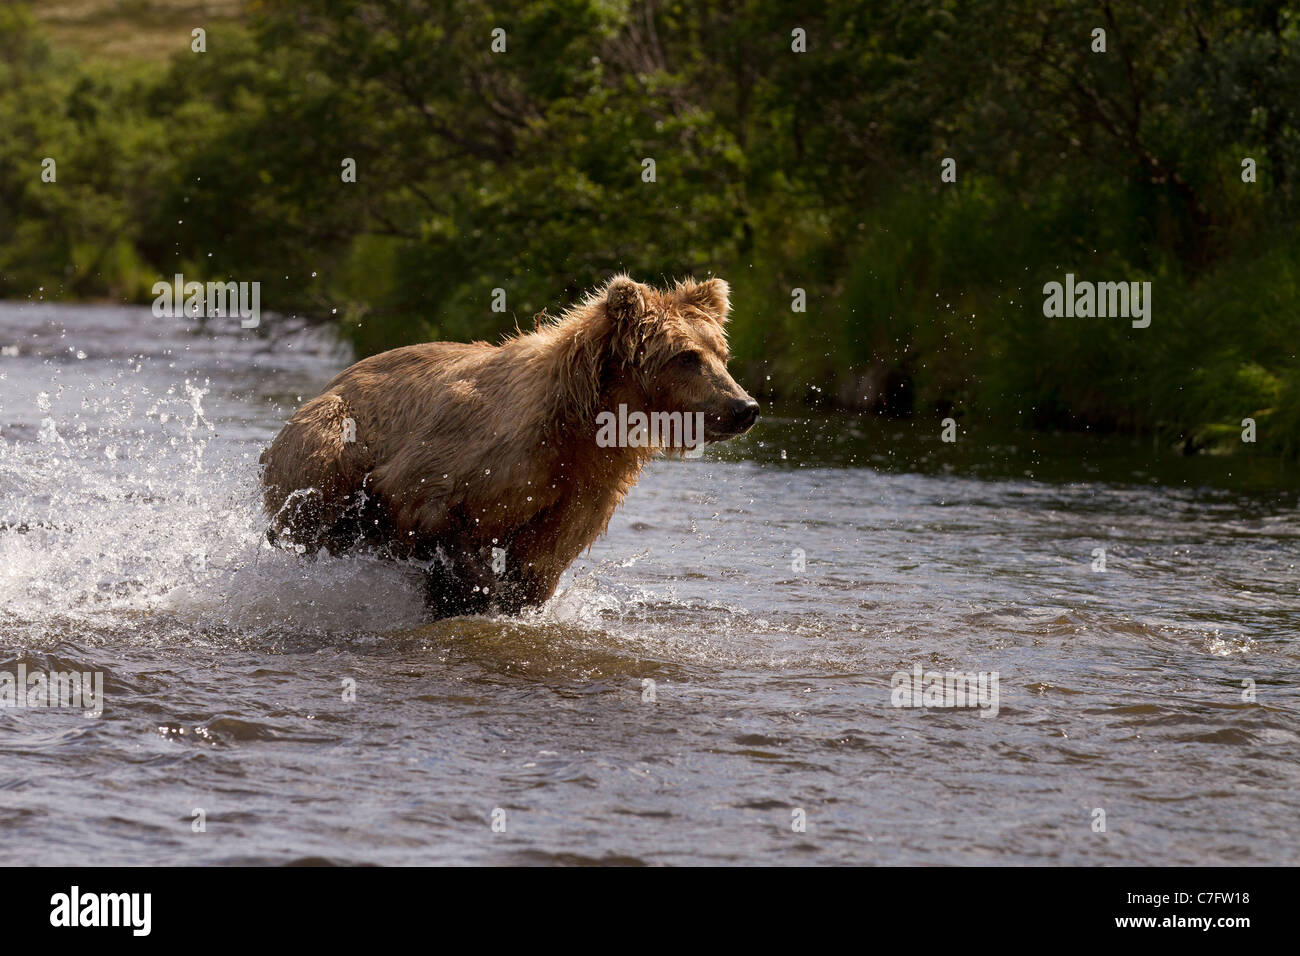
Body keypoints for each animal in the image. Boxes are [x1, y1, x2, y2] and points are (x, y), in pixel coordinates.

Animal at [259, 275, 759, 617]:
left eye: (721, 353)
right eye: (686, 357)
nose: (745, 406)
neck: (580, 422)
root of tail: (329, 383)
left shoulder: (585, 486)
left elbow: (543, 559)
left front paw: (509, 598)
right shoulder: (467, 451)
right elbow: (426, 507)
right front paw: (473, 593)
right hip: (329, 436)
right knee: (311, 505)